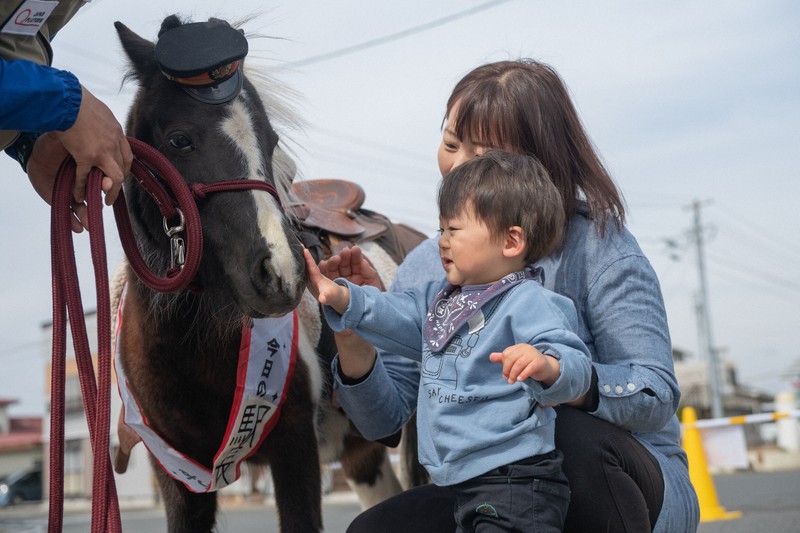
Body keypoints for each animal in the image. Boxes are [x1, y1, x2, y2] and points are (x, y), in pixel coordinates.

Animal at [111, 15, 426, 533]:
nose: (281, 272)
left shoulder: (295, 446)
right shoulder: (173, 471)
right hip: (362, 454)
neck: (193, 344)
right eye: (179, 139)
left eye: (272, 140)